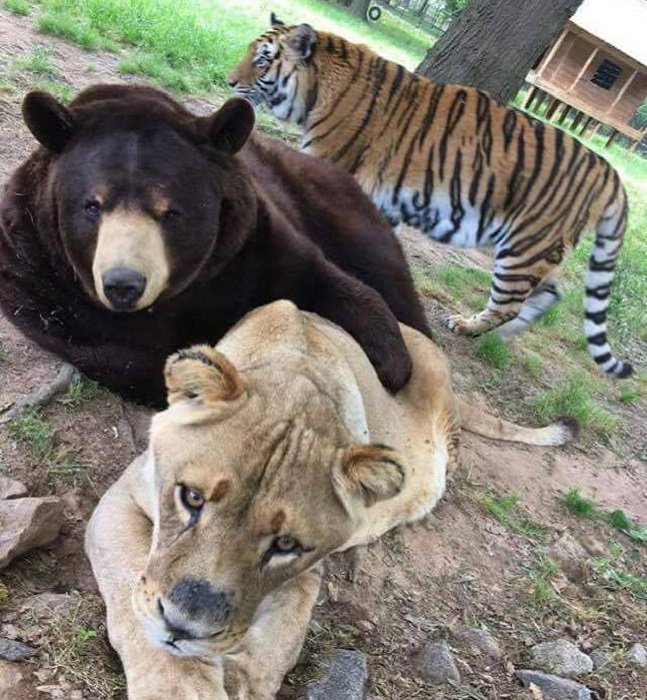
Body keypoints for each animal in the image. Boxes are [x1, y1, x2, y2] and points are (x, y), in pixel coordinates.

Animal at [0, 84, 430, 406]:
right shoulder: (39, 276)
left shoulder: (251, 242)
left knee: (382, 268)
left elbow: (325, 278)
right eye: (92, 205)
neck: (190, 289)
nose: (123, 284)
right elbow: (130, 354)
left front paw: (393, 361)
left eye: (171, 212)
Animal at [85, 300, 576, 699]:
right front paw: (180, 683)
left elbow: (285, 635)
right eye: (190, 497)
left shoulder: (307, 570)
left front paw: (243, 679)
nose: (184, 628)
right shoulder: (120, 501)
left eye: (285, 544)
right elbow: (133, 597)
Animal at [228, 15, 633, 379]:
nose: (231, 82)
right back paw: (498, 339)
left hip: (523, 249)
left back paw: (469, 326)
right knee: (549, 294)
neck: (318, 86)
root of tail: (610, 173)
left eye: (262, 60)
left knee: (512, 304)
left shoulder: (327, 168)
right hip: (532, 249)